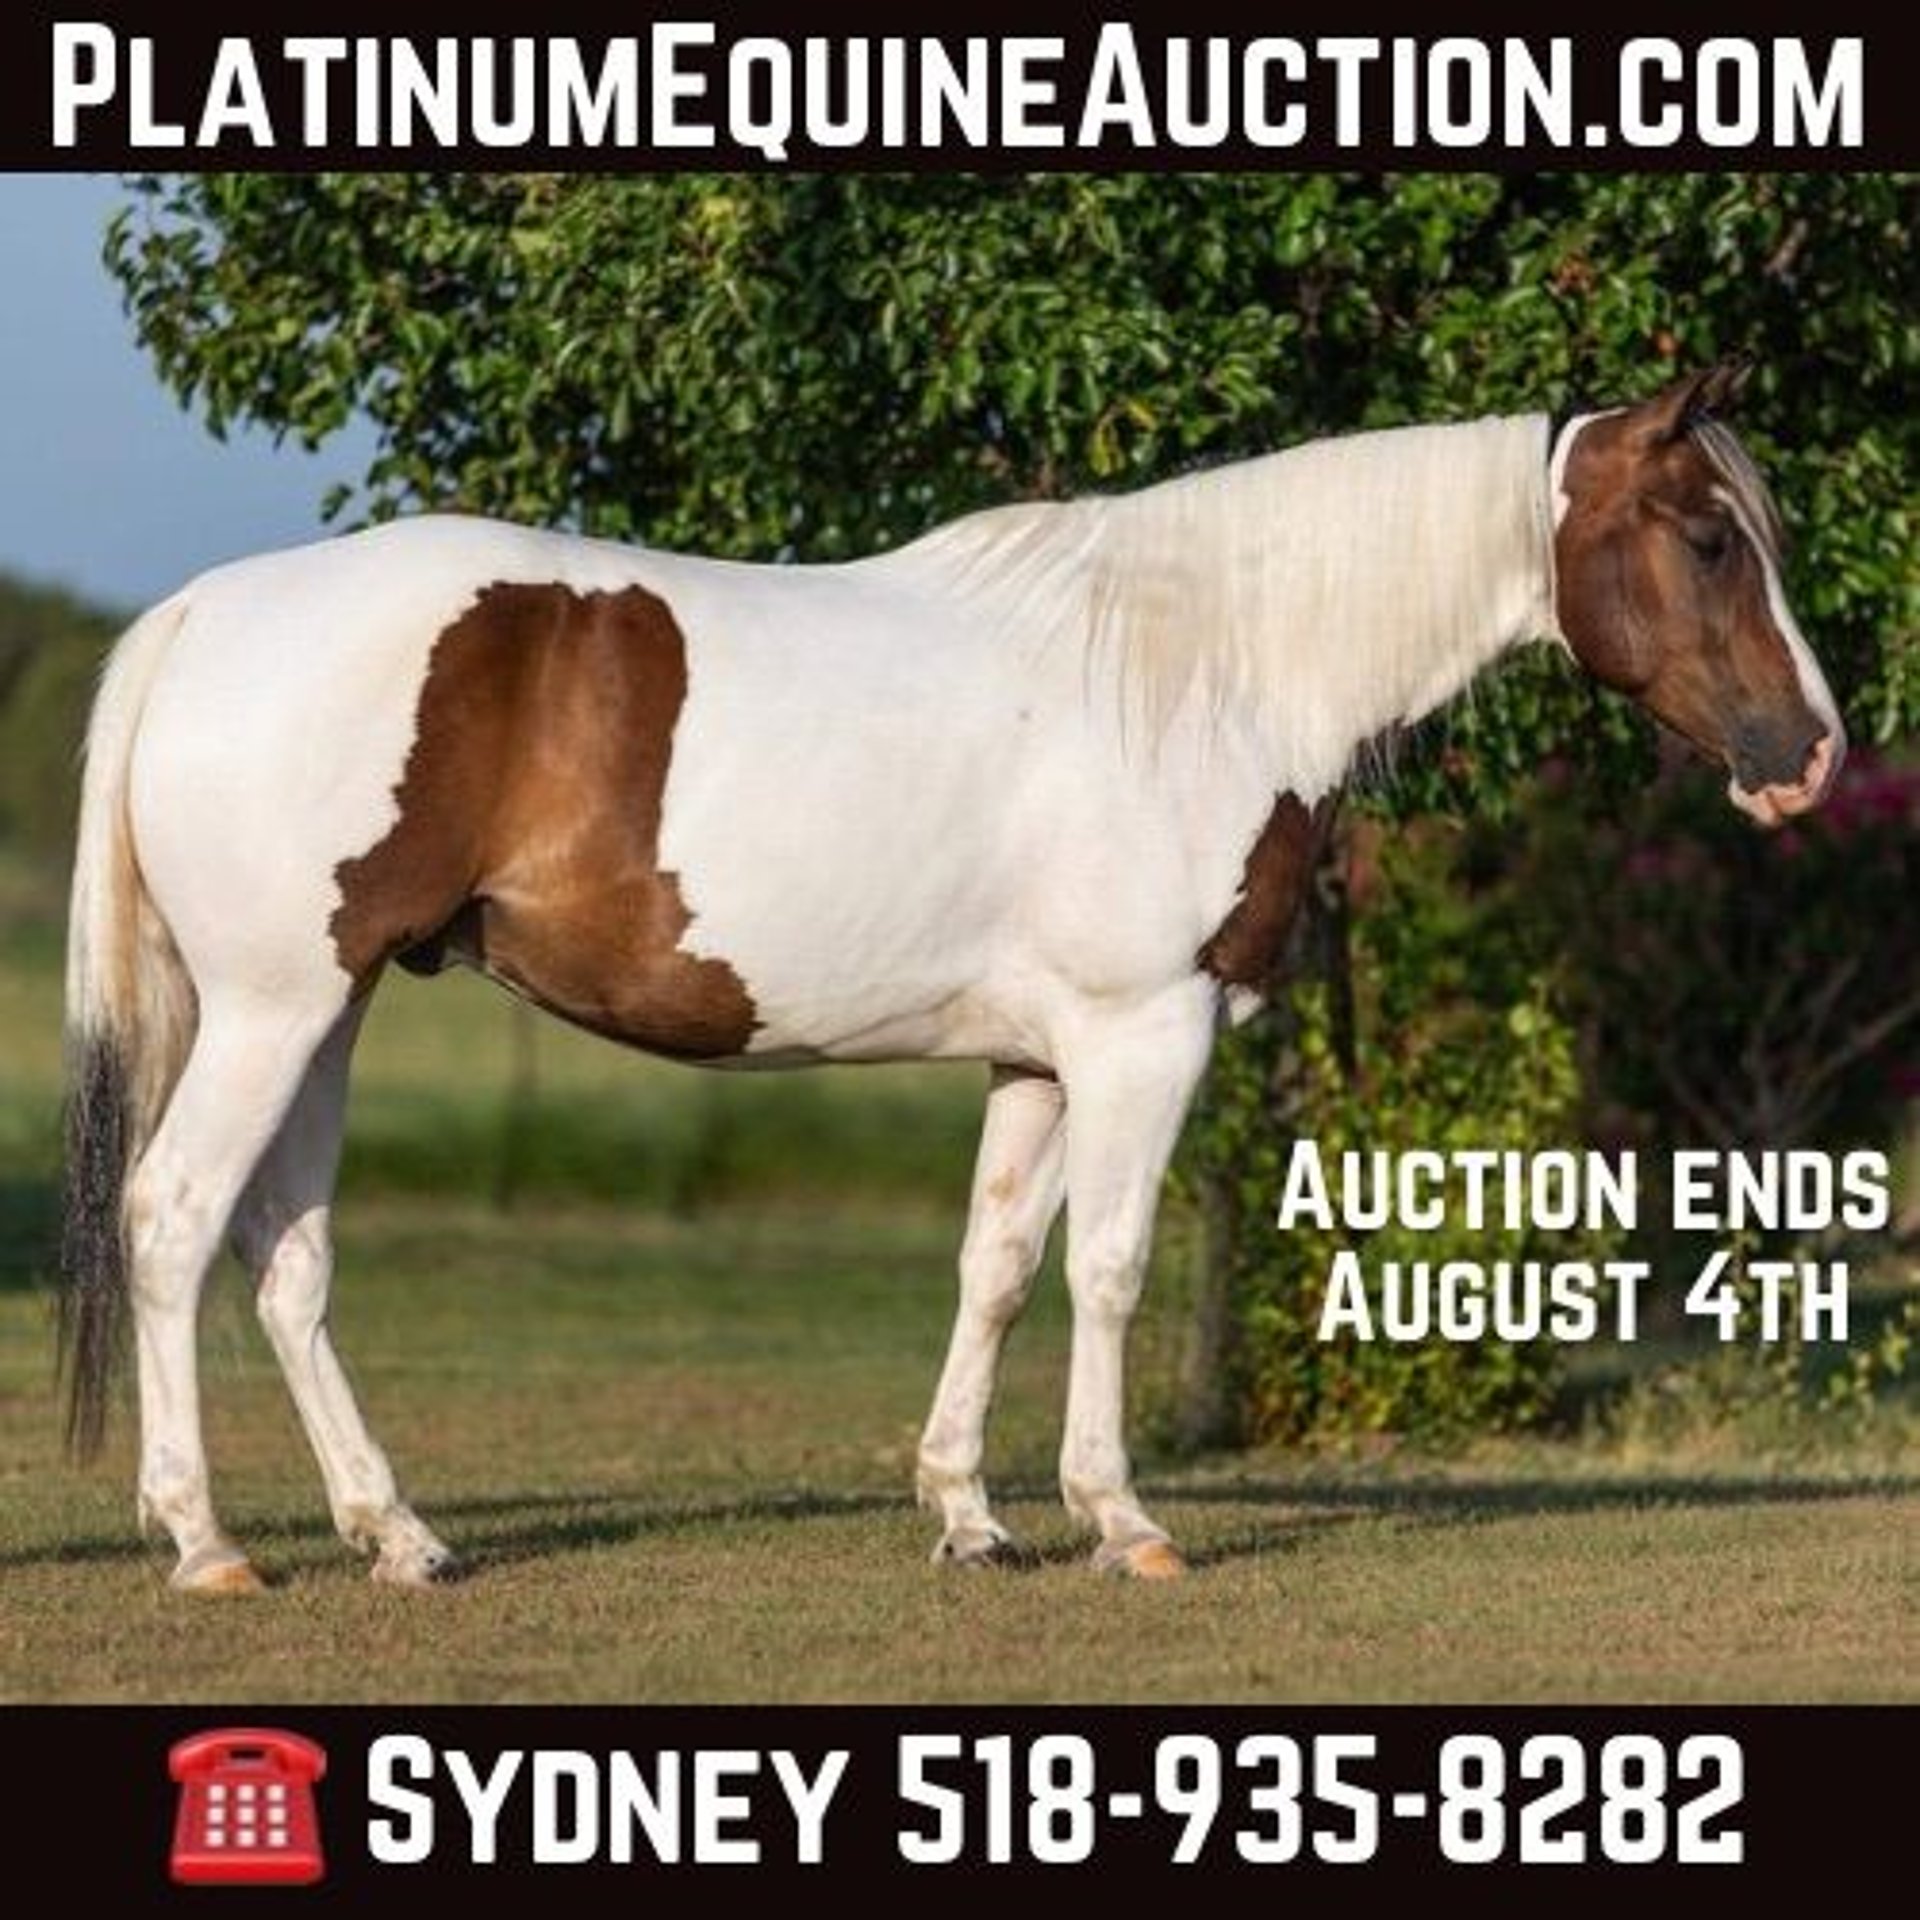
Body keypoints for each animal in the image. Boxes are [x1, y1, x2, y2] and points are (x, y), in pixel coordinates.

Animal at [57, 362, 1843, 1592]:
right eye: (1706, 538)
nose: (1810, 756)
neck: (1201, 670)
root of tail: (202, 613)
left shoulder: (1042, 1062)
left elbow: (995, 1267)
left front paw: (972, 1515)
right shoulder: (1144, 1038)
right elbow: (1108, 1268)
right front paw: (1122, 1519)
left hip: (331, 1011)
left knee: (285, 1257)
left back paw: (400, 1535)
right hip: (277, 1011)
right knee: (173, 1221)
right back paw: (206, 1542)